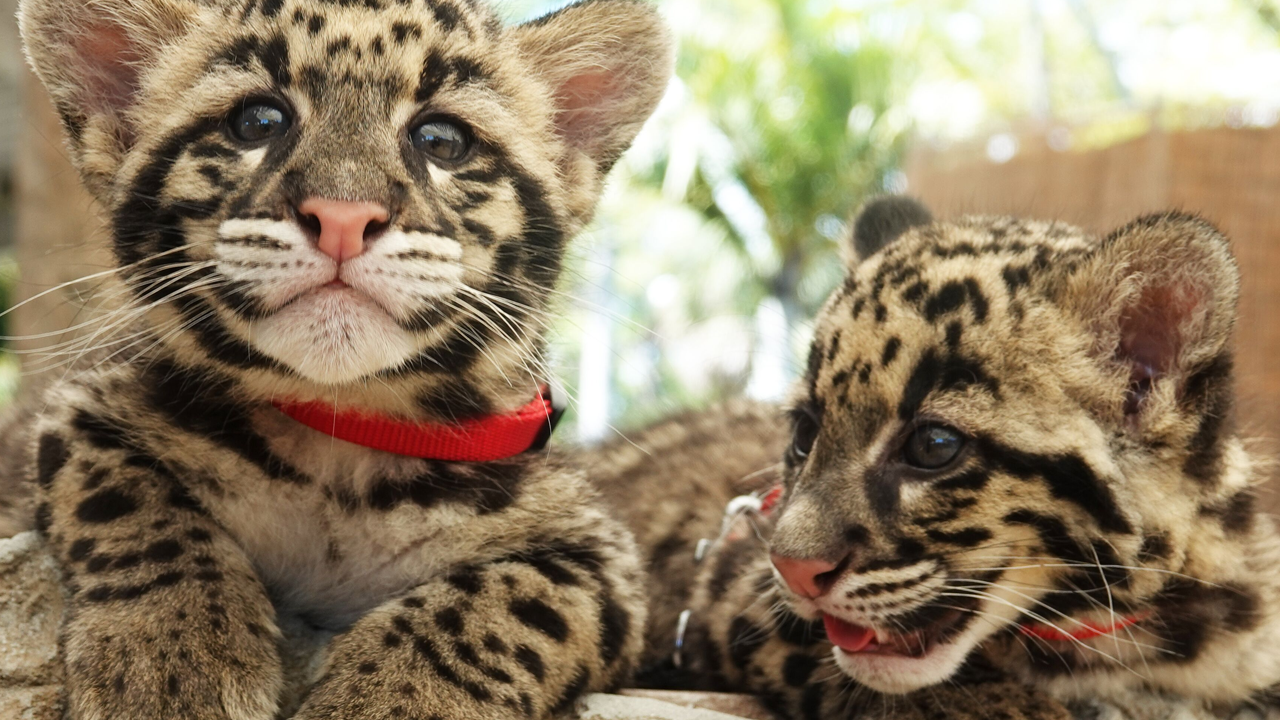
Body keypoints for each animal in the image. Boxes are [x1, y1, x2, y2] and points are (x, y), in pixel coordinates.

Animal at [2, 0, 672, 718]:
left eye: (442, 141)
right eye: (257, 122)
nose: (344, 217)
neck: (337, 453)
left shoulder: (603, 557)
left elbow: (502, 601)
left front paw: (391, 699)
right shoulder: (79, 407)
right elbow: (133, 502)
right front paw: (171, 662)